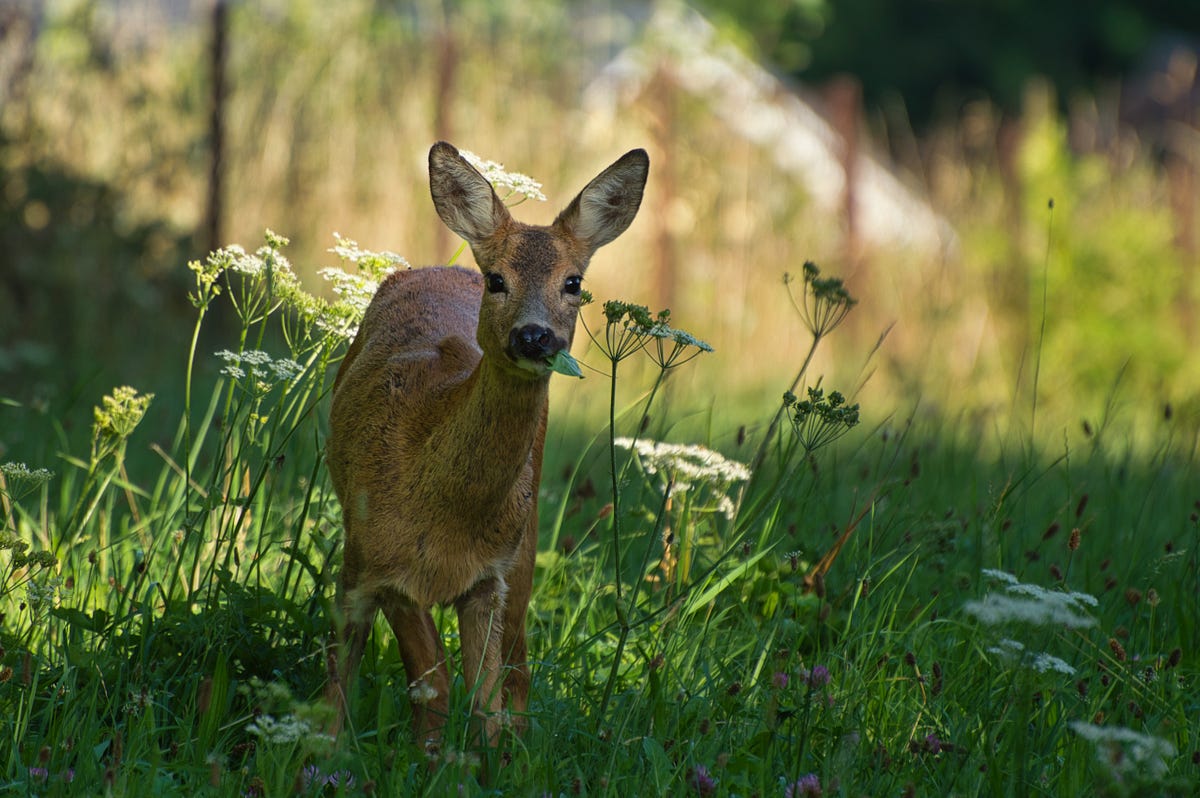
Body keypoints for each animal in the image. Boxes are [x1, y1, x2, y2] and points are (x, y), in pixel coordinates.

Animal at [324, 142, 649, 749]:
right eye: (497, 279)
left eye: (574, 282)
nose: (534, 336)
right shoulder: (382, 562)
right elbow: (432, 684)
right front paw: (426, 757)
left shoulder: (488, 578)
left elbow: (483, 702)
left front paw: (476, 760)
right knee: (348, 655)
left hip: (525, 540)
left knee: (518, 666)